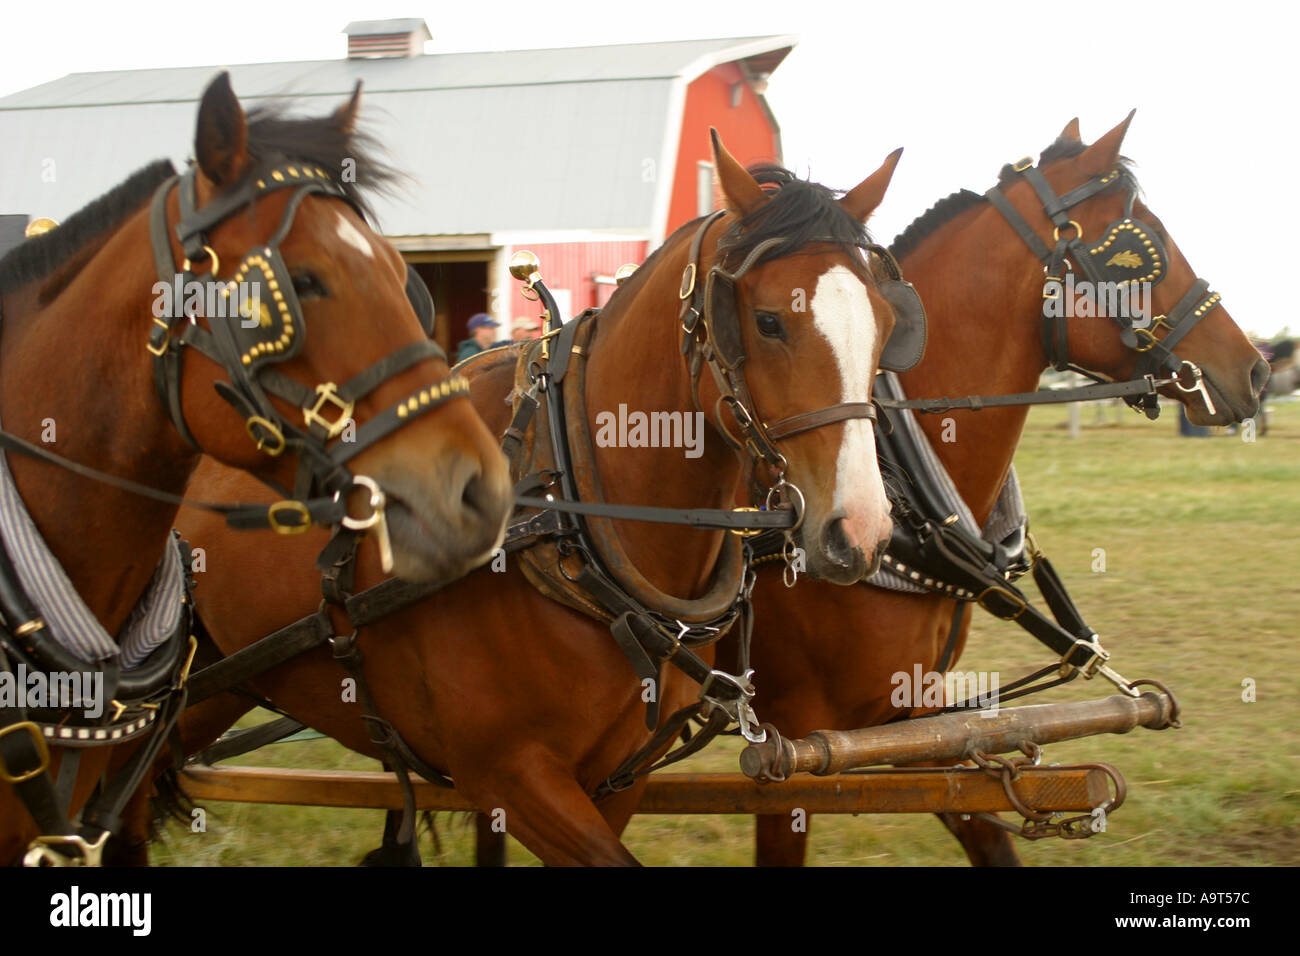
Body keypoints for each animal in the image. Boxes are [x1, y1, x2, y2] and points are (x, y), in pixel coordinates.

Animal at [138, 132, 908, 866]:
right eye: (770, 321)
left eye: (884, 322)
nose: (861, 531)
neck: (572, 514)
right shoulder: (511, 773)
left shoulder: (617, 778)